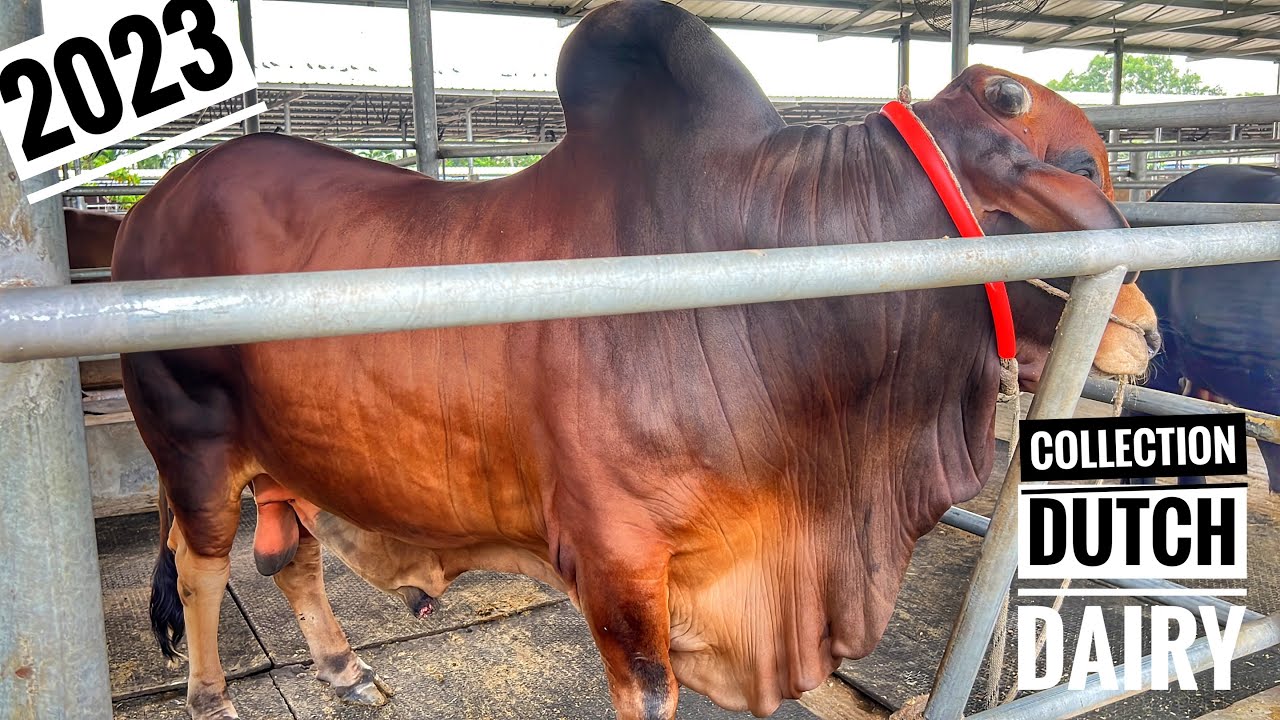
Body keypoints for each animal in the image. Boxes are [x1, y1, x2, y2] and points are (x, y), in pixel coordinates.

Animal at [113, 2, 1158, 718]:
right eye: (1082, 169)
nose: (1147, 331)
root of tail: (150, 203)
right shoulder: (618, 563)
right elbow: (650, 694)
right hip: (191, 441)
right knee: (203, 569)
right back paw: (214, 697)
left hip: (287, 454)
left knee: (291, 554)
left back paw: (345, 668)